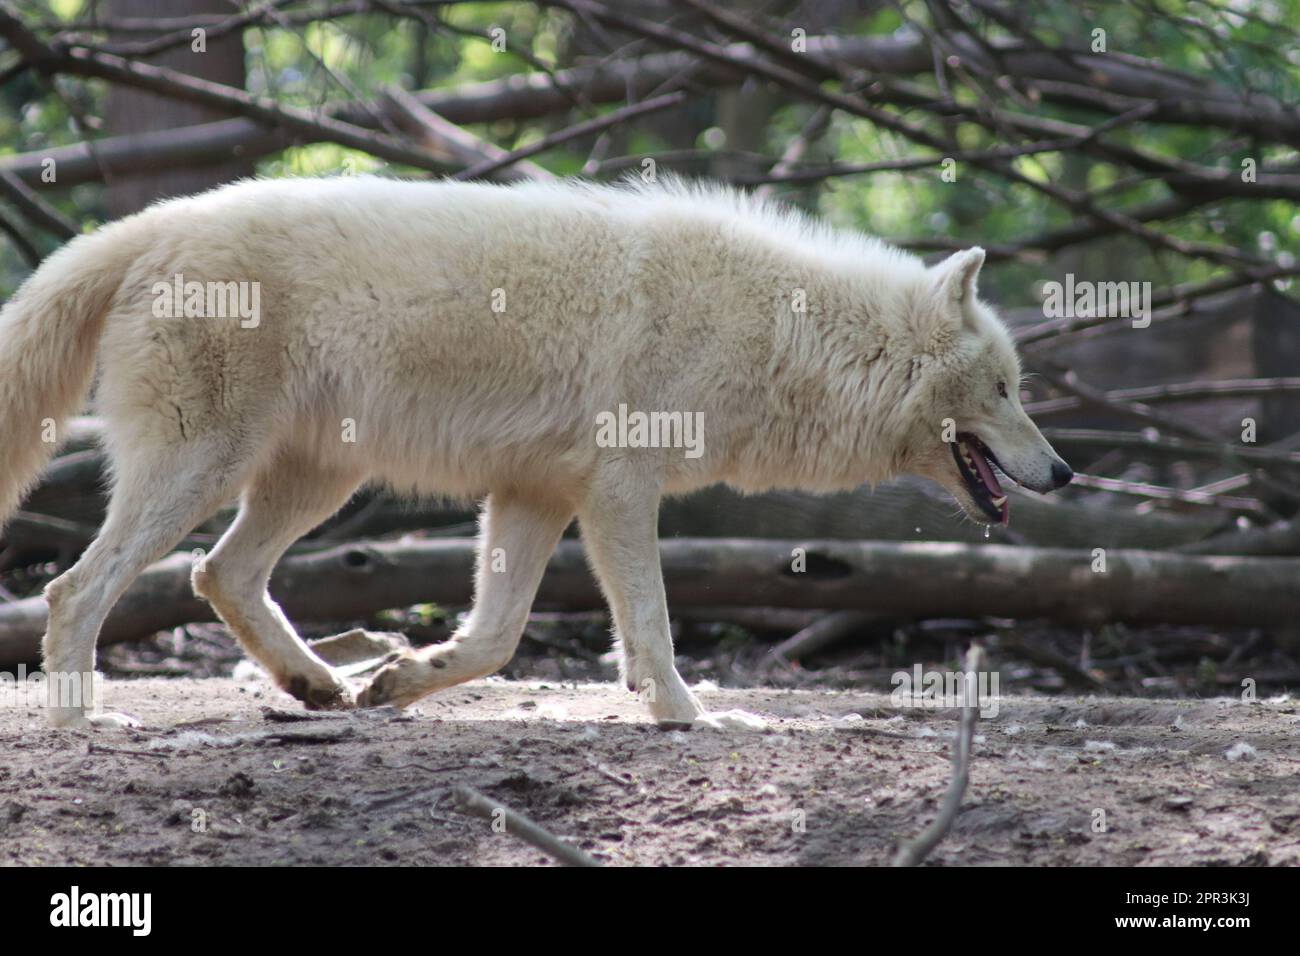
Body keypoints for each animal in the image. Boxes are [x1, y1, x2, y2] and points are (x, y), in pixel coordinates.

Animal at [0, 176, 1071, 730]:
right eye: (1006, 390)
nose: (1064, 472)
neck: (781, 331)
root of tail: (144, 224)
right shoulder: (621, 491)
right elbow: (653, 625)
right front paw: (688, 714)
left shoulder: (538, 494)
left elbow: (497, 639)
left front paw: (403, 678)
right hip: (209, 470)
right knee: (76, 589)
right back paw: (80, 720)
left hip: (314, 481)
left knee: (217, 575)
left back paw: (318, 686)